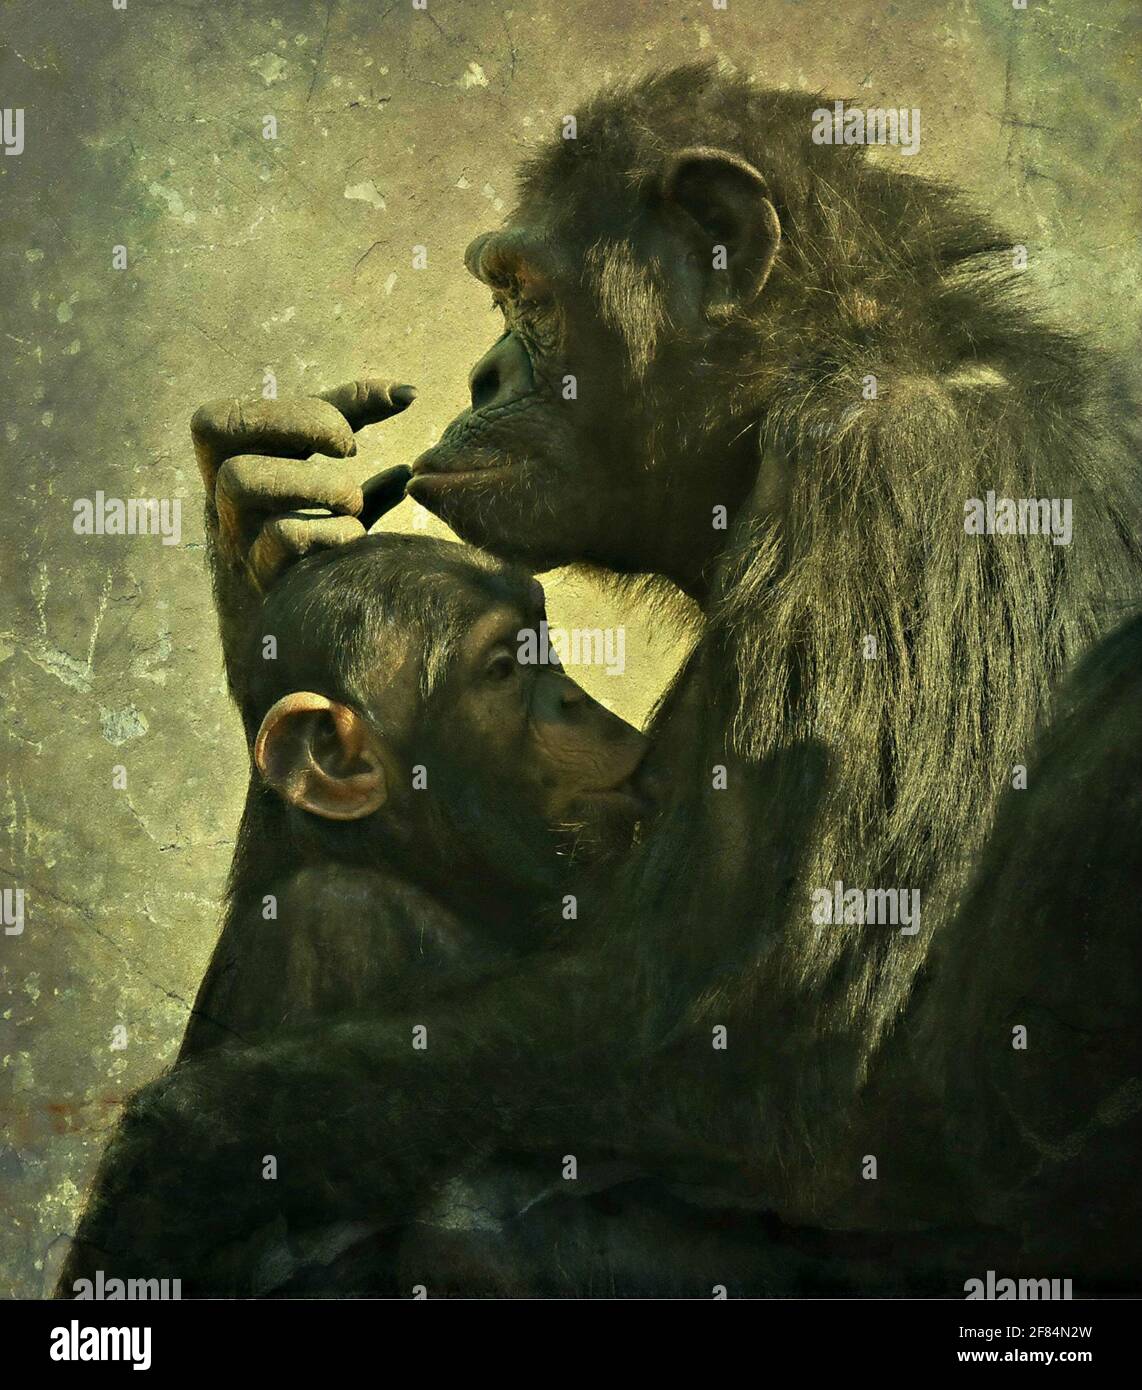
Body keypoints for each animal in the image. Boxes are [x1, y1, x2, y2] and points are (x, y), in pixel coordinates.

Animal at [67, 63, 1142, 1295]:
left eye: (524, 296)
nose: (483, 371)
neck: (809, 372)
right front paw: (262, 502)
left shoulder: (888, 479)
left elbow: (773, 1019)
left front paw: (172, 1154)